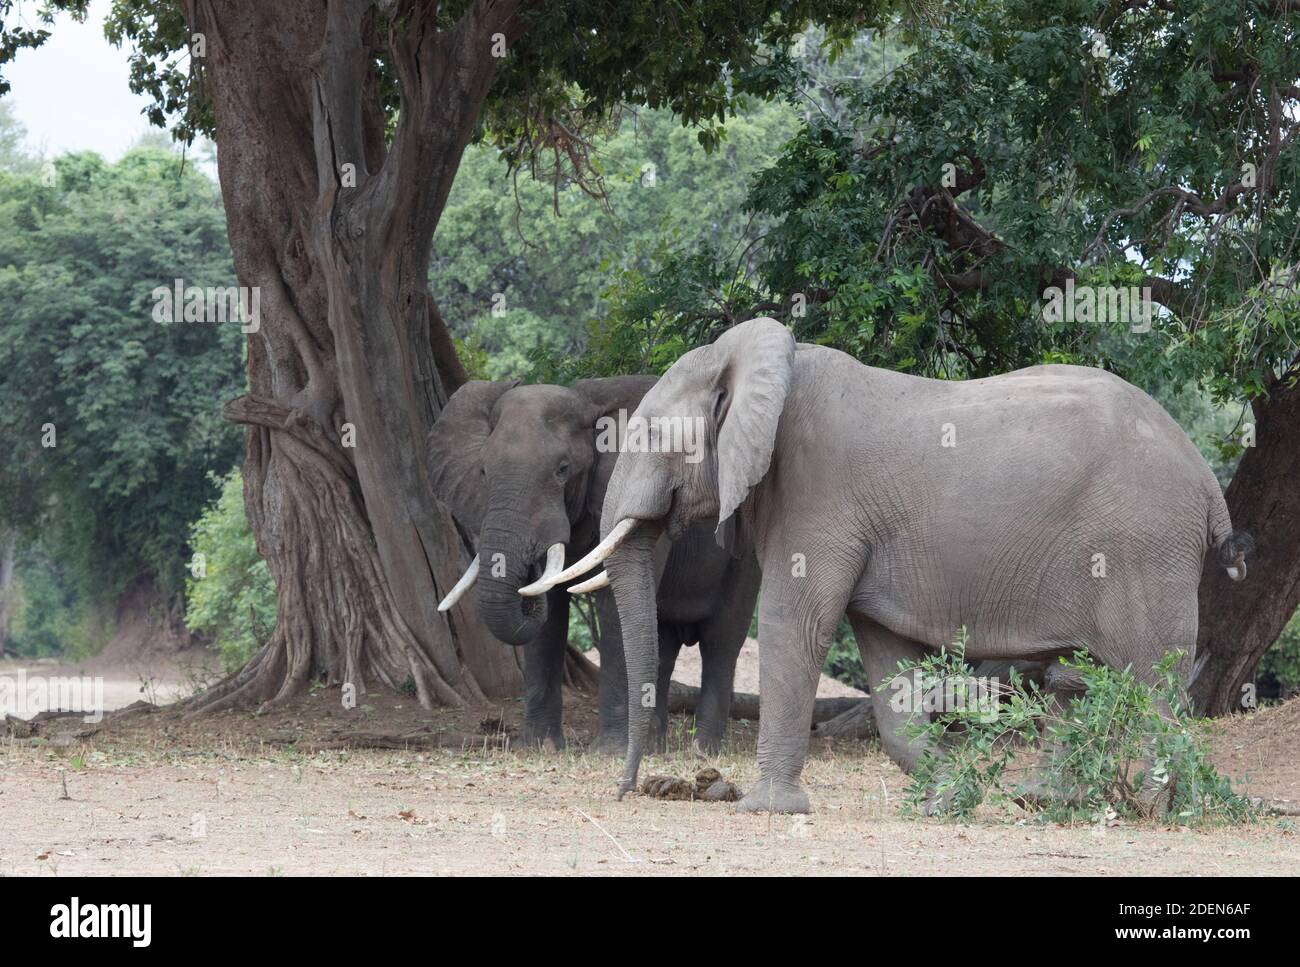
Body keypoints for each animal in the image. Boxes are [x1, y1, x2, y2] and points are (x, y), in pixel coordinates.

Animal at [427, 376, 760, 753]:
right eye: (484, 471)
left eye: (562, 470)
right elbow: (552, 617)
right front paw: (540, 747)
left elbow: (615, 604)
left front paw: (610, 752)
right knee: (663, 641)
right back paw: (654, 746)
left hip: (743, 554)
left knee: (721, 641)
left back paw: (702, 750)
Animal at [550, 317, 1251, 813]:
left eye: (651, 438)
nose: (627, 790)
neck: (759, 363)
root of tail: (1207, 482)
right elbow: (886, 654)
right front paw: (944, 798)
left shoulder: (818, 496)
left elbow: (794, 621)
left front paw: (764, 809)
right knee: (1075, 678)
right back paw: (1047, 801)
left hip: (1144, 549)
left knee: (1153, 681)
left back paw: (1157, 805)